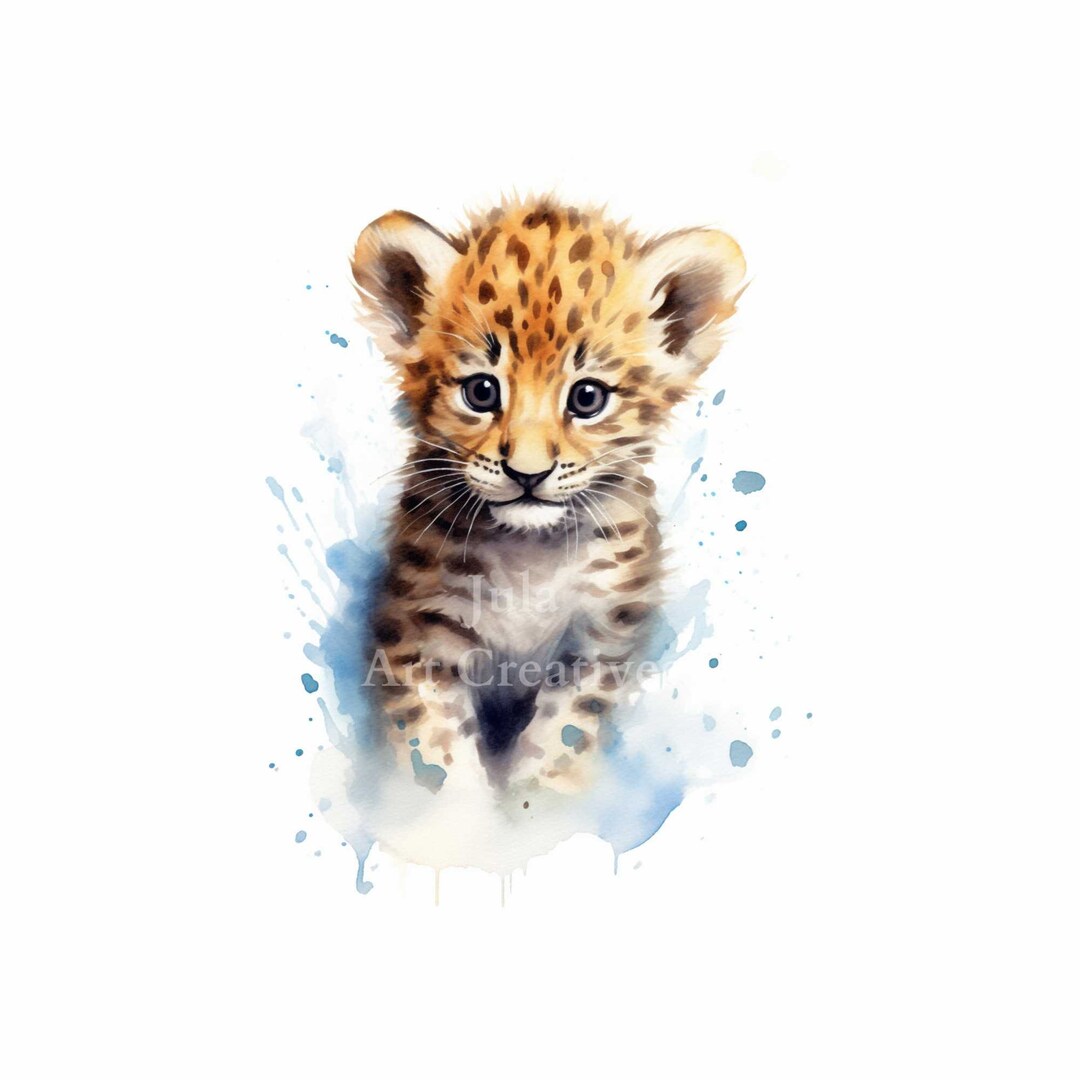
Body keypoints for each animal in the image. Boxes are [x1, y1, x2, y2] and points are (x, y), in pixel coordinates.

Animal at [350, 197, 745, 798]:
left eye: (587, 398)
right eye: (481, 391)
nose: (527, 473)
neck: (530, 554)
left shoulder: (597, 640)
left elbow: (559, 741)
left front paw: (536, 806)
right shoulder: (419, 632)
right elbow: (436, 752)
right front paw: (454, 814)